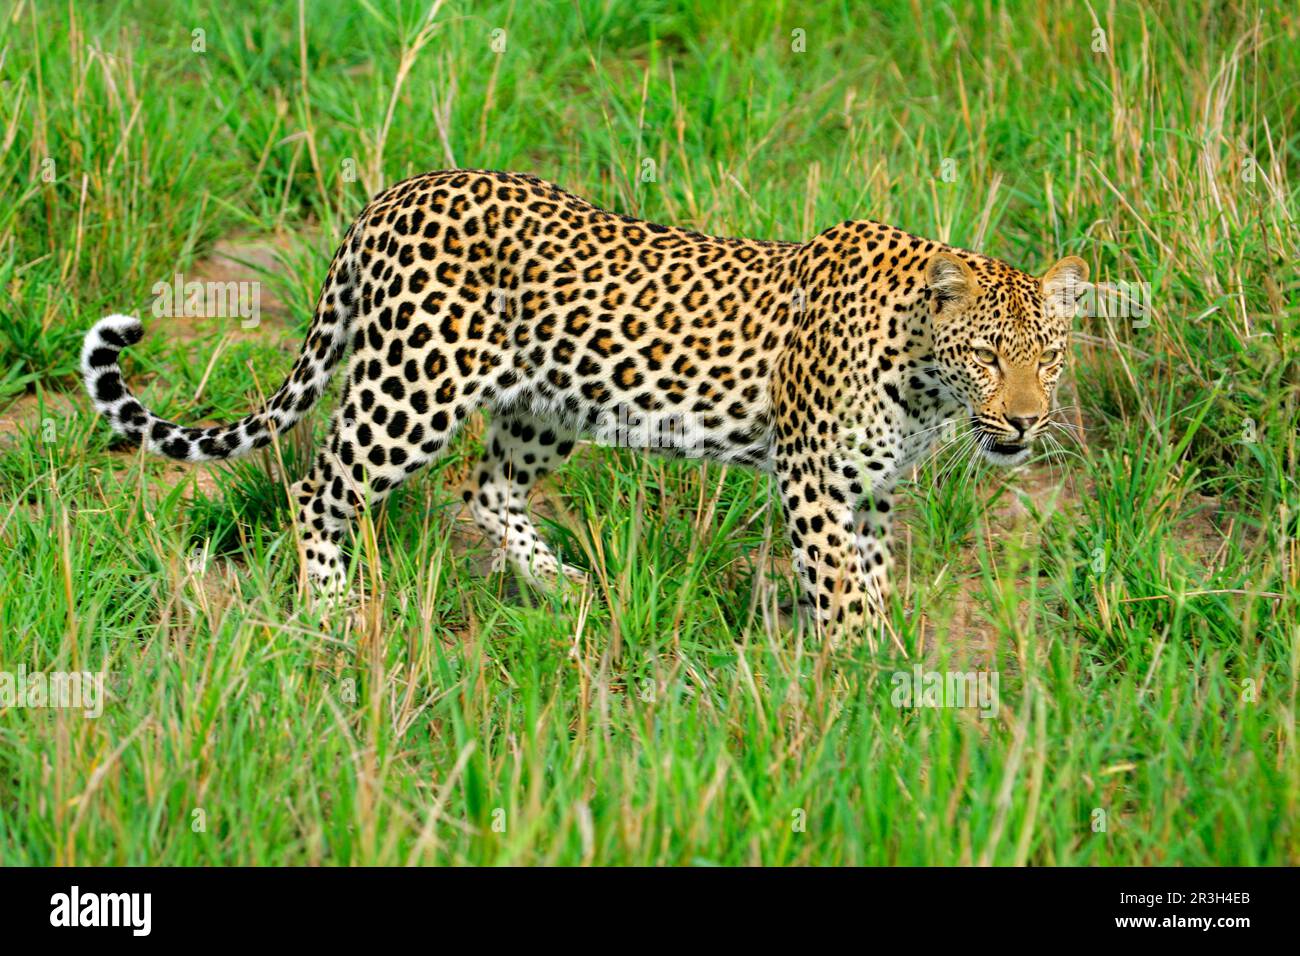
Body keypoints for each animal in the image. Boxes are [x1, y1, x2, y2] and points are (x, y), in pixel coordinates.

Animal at [82, 169, 1087, 637]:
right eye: (989, 357)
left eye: (1050, 358)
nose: (1027, 419)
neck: (923, 382)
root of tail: (389, 196)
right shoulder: (815, 478)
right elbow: (842, 586)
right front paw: (866, 676)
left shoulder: (869, 489)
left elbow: (864, 575)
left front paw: (871, 657)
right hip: (414, 388)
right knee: (317, 484)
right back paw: (329, 605)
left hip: (550, 400)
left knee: (487, 492)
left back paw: (563, 586)